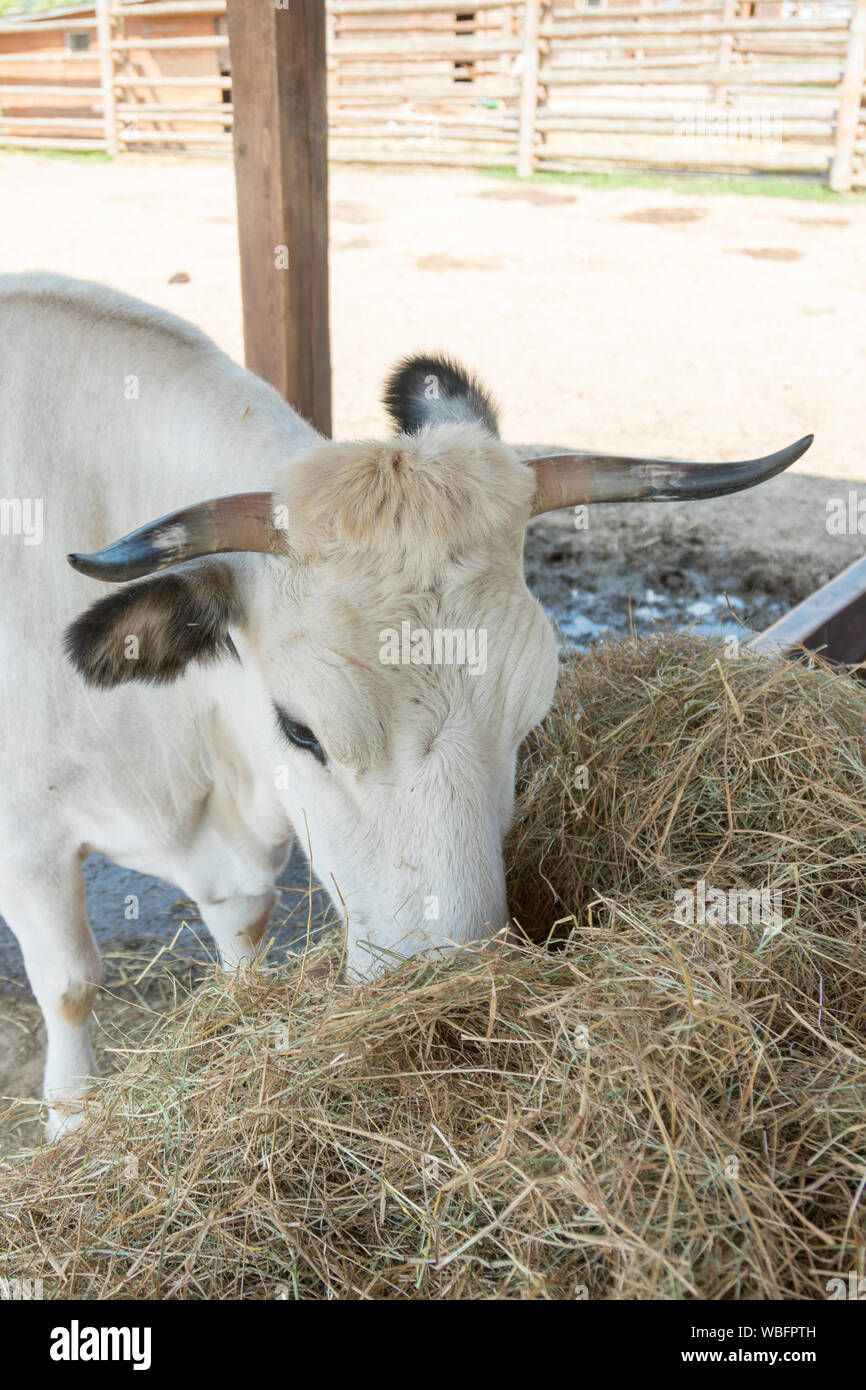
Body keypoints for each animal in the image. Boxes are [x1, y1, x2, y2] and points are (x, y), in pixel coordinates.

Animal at [0, 273, 811, 1137]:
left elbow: (244, 938)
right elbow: (71, 987)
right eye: (300, 730)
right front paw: (71, 1123)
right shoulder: (29, 848)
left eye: (530, 716)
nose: (444, 1004)